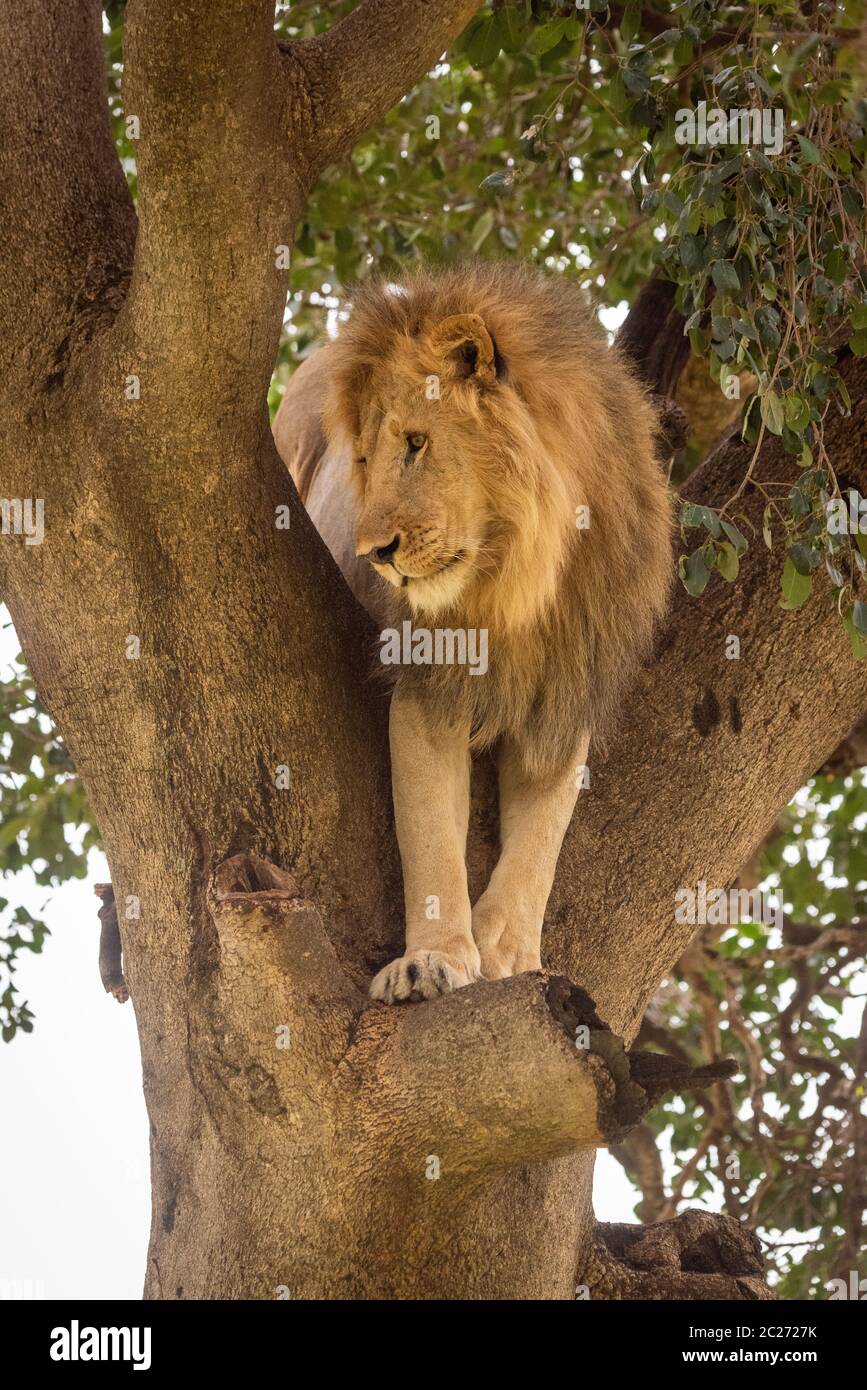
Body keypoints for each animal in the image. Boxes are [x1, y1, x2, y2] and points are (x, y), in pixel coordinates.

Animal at [273, 262, 672, 1003]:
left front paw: (509, 956)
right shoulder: (430, 683)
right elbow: (429, 837)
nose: (376, 553)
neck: (514, 578)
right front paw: (431, 961)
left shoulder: (567, 692)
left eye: (416, 442)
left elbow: (539, 848)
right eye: (363, 460)